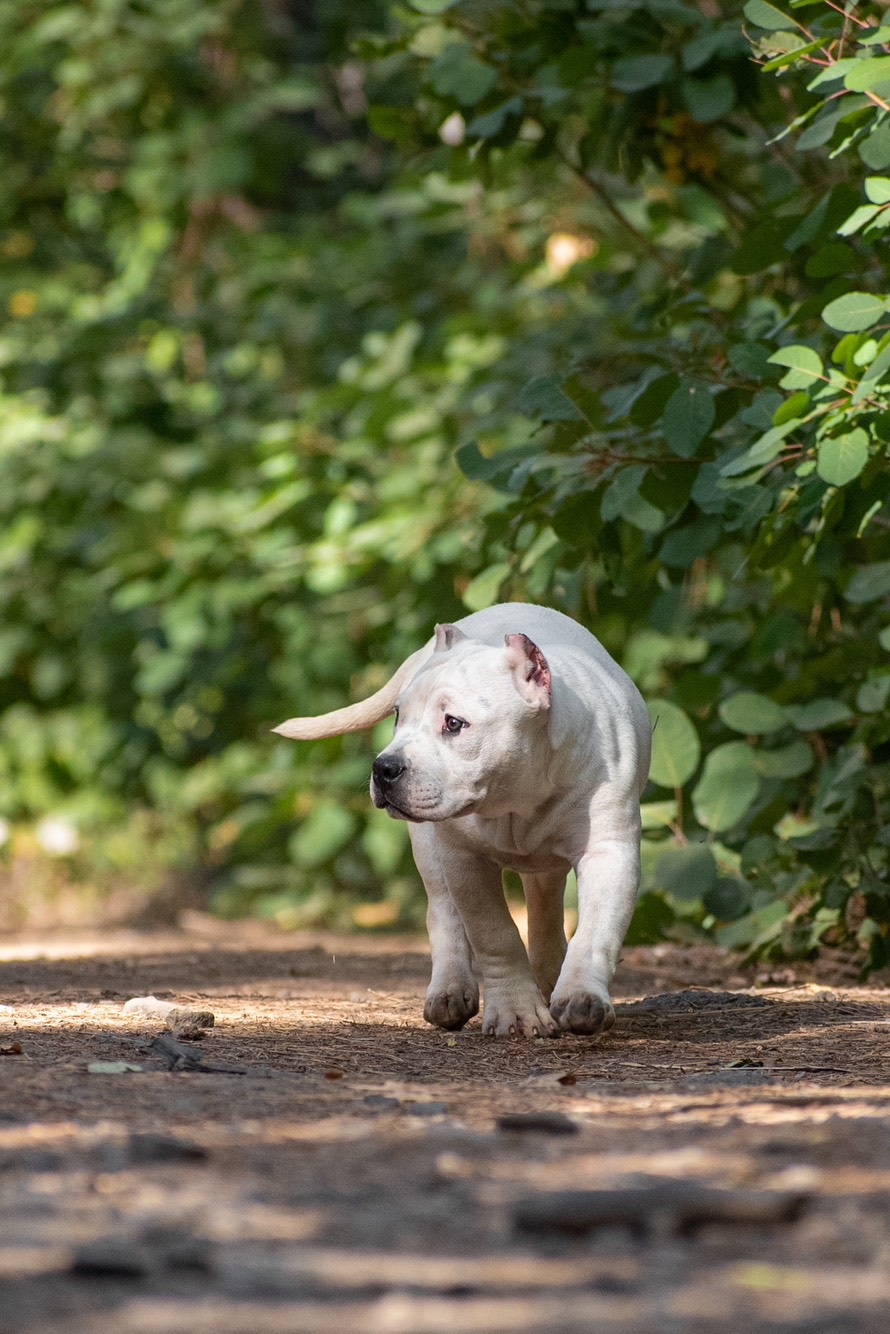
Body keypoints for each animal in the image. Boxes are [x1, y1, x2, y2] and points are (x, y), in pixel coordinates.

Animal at [274, 608, 651, 1040]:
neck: (518, 797)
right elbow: (494, 934)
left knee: (544, 904)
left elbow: (596, 931)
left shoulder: (609, 852)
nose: (383, 767)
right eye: (399, 717)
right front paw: (517, 1012)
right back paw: (450, 992)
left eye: (454, 723)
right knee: (443, 912)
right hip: (429, 849)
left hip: (543, 865)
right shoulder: (463, 858)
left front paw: (581, 998)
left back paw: (549, 974)